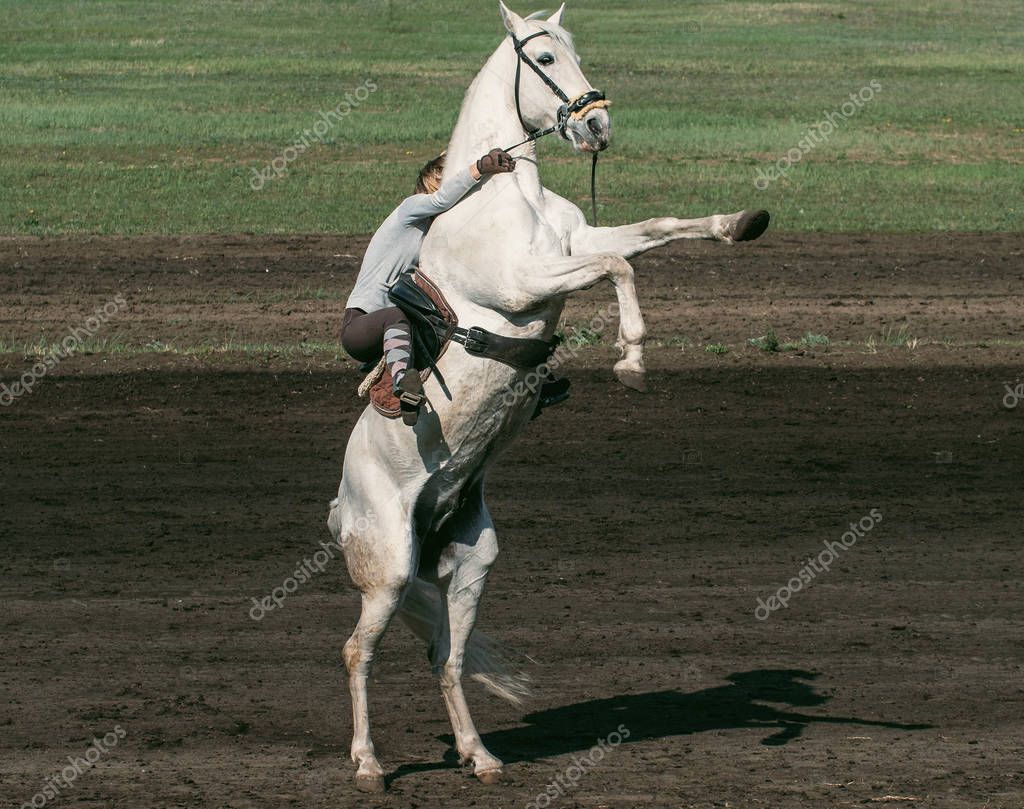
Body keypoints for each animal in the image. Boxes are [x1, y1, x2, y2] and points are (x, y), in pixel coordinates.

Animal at [327, 2, 769, 791]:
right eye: (541, 57)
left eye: (575, 48)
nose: (597, 127)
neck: (508, 195)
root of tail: (338, 506)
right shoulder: (526, 282)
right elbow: (620, 264)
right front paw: (632, 355)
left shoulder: (573, 245)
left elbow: (652, 232)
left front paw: (738, 223)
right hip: (388, 572)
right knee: (358, 652)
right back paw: (369, 764)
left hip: (470, 565)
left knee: (448, 657)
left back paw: (480, 756)